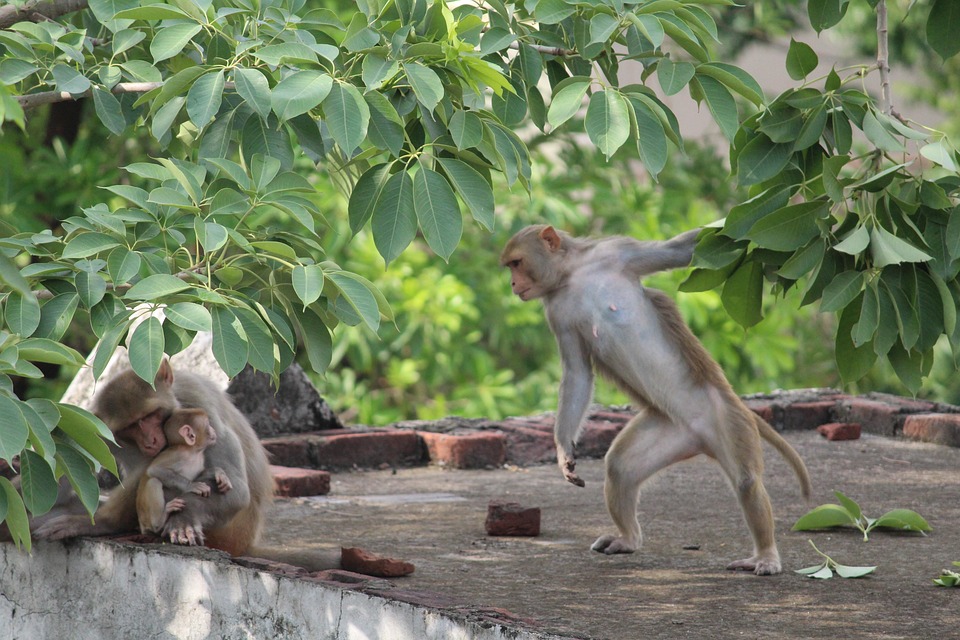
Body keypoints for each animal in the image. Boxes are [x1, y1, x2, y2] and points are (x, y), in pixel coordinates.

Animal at [500, 225, 812, 575]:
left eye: (516, 263)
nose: (513, 284)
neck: (572, 276)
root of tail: (701, 438)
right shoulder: (557, 312)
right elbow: (578, 373)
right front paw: (564, 449)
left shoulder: (616, 252)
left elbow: (681, 250)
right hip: (671, 428)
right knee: (621, 468)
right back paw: (628, 538)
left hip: (729, 417)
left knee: (747, 482)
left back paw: (766, 555)